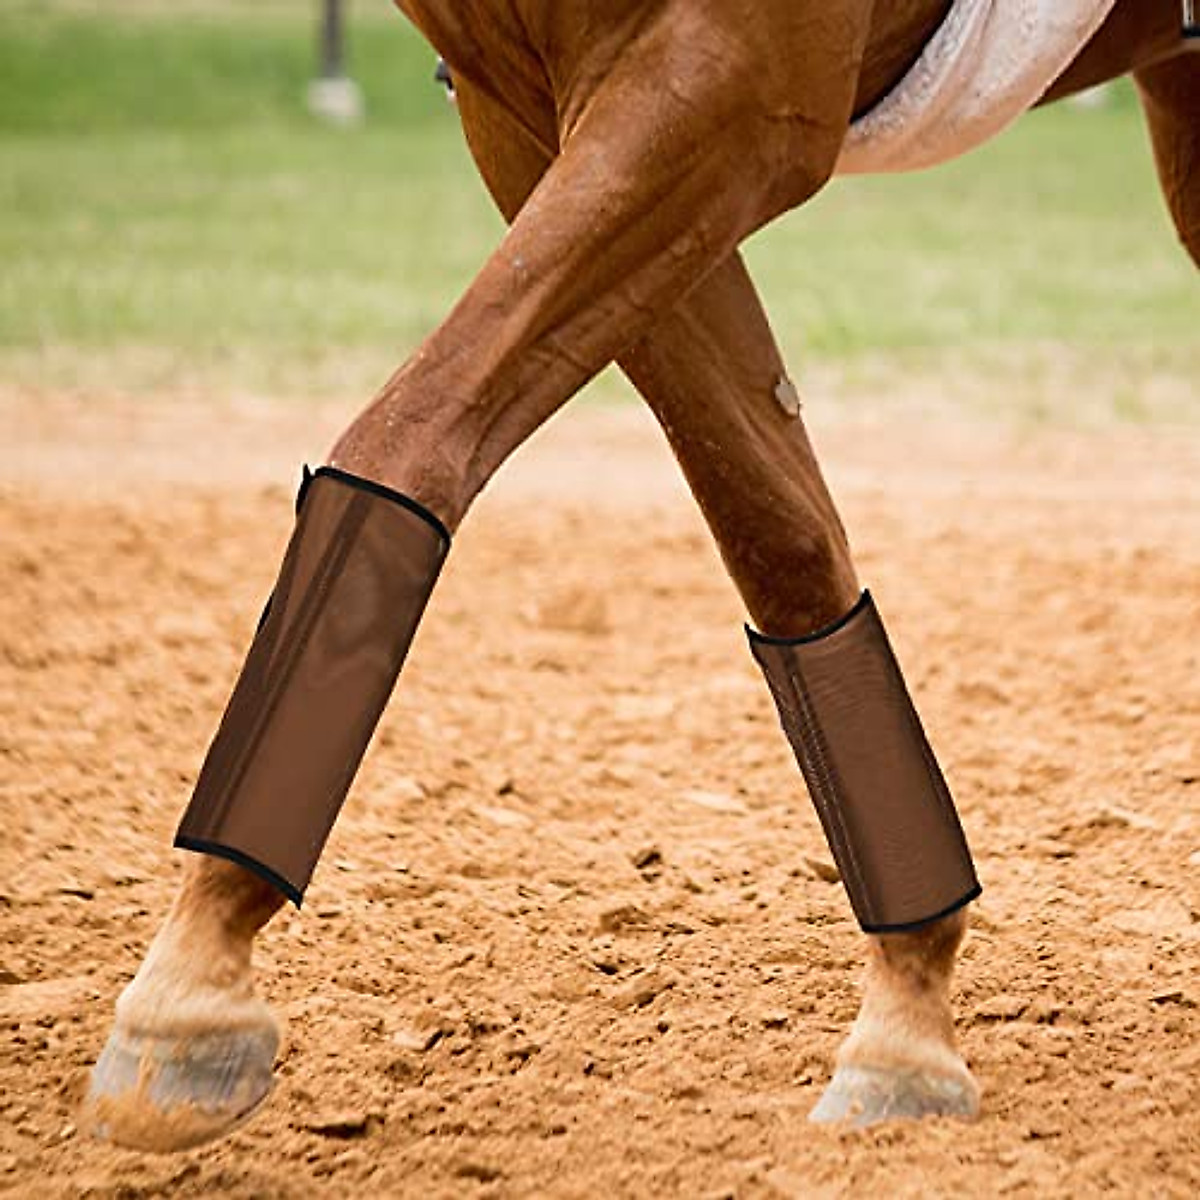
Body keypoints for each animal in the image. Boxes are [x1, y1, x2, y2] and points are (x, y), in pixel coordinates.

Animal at [84, 0, 1198, 1152]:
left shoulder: (728, 91)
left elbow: (414, 433)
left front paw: (193, 990)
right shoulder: (530, 116)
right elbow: (776, 536)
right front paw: (908, 1017)